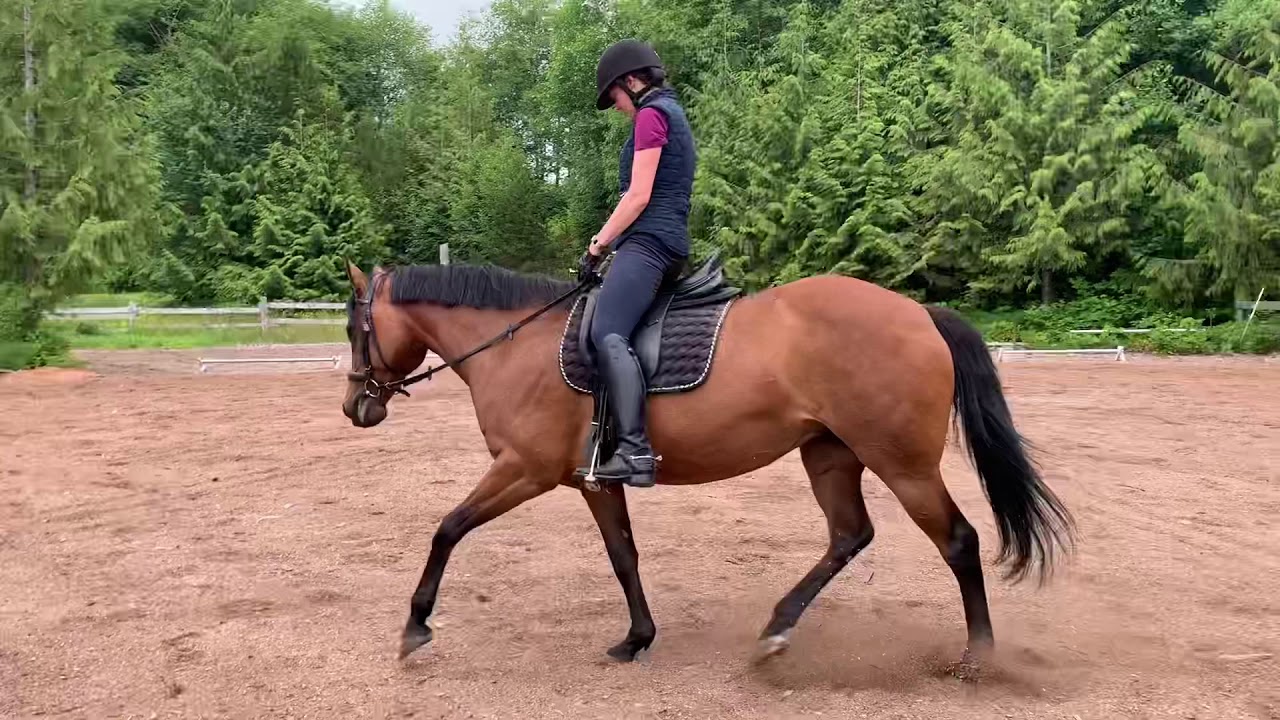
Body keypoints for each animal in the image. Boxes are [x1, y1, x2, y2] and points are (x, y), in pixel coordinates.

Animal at [338, 255, 1075, 680]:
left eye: (354, 328)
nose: (355, 407)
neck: (517, 343)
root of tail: (919, 312)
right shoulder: (590, 480)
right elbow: (624, 555)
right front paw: (637, 639)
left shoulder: (526, 470)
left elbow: (447, 529)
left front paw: (415, 630)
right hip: (830, 453)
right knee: (849, 535)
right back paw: (775, 631)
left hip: (902, 463)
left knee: (959, 541)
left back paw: (977, 658)